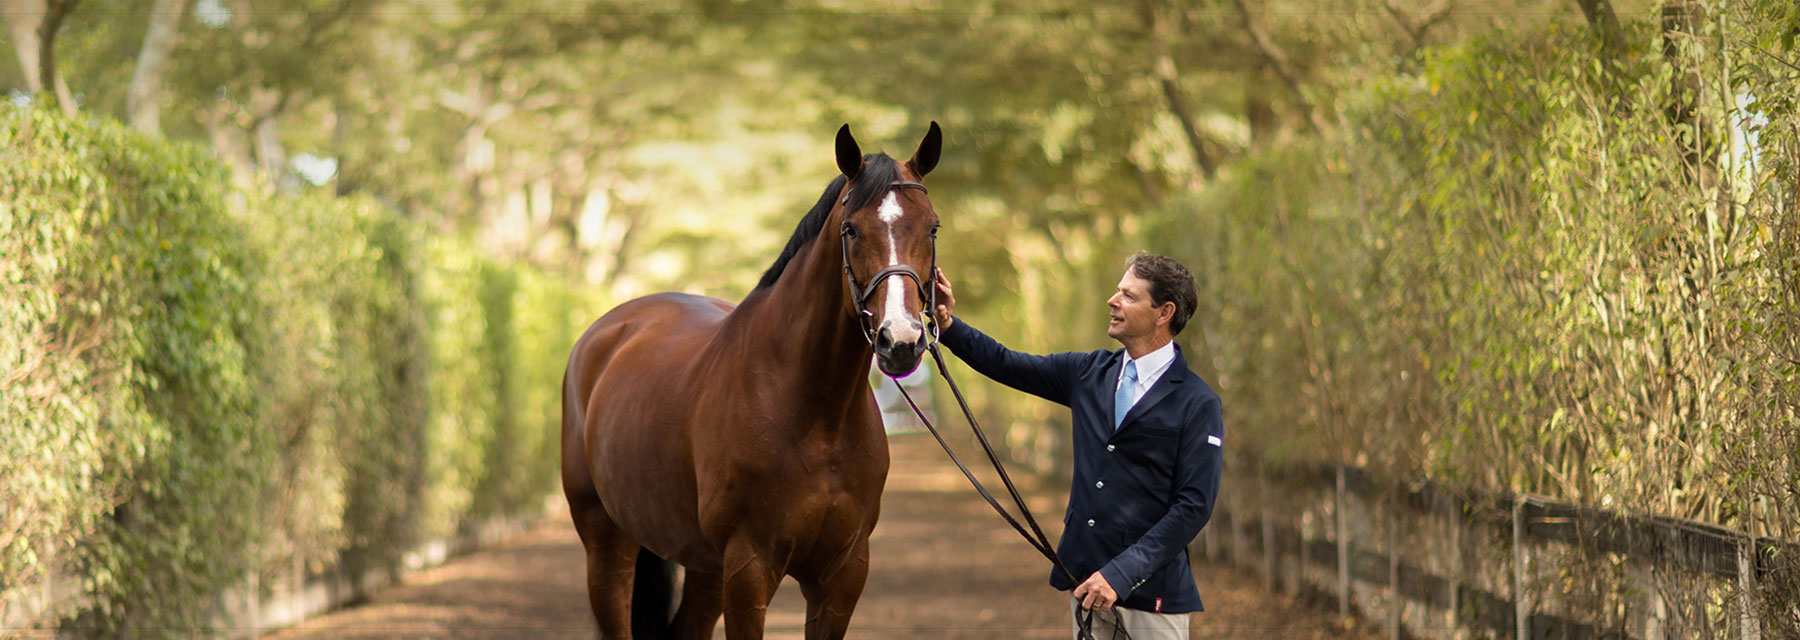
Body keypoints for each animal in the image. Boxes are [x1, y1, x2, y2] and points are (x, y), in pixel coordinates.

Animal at [561, 122, 944, 639]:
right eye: (851, 229)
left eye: (932, 227)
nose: (900, 340)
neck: (815, 415)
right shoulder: (749, 569)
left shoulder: (842, 575)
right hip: (607, 545)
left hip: (701, 563)